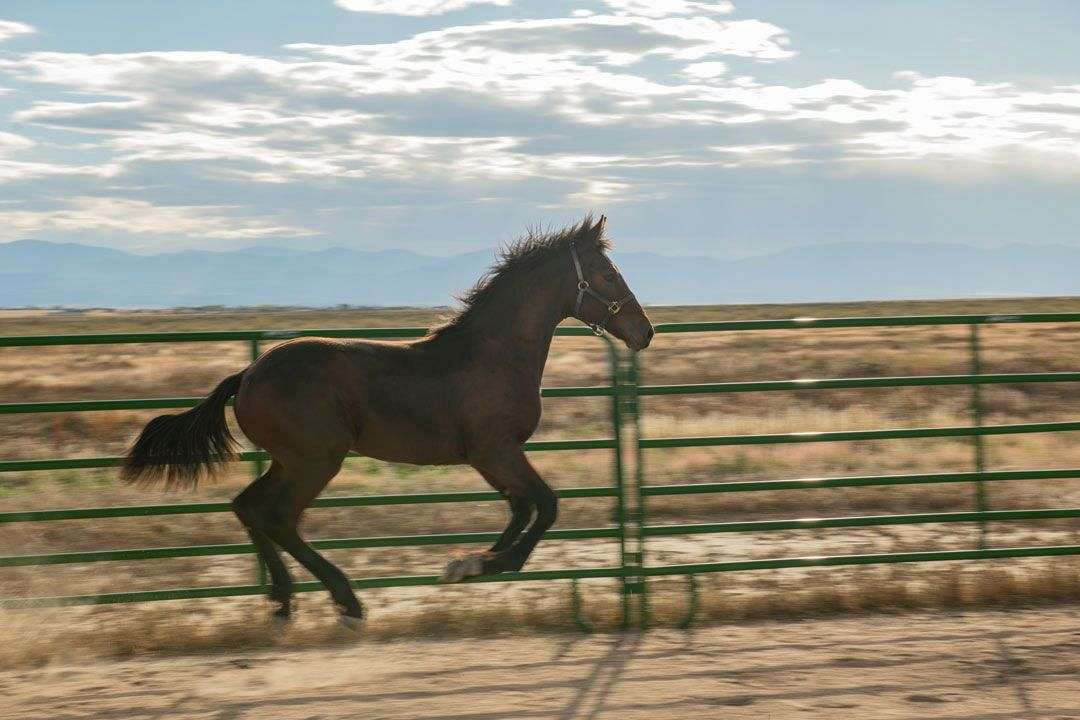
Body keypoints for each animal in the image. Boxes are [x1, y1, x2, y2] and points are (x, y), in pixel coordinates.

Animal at [121, 215, 654, 630]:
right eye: (607, 275)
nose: (644, 332)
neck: (493, 355)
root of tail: (248, 374)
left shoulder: (490, 457)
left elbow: (522, 509)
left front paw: (468, 564)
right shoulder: (496, 450)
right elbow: (545, 506)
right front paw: (482, 564)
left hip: (289, 461)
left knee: (247, 506)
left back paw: (283, 601)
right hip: (314, 461)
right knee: (278, 516)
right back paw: (346, 602)